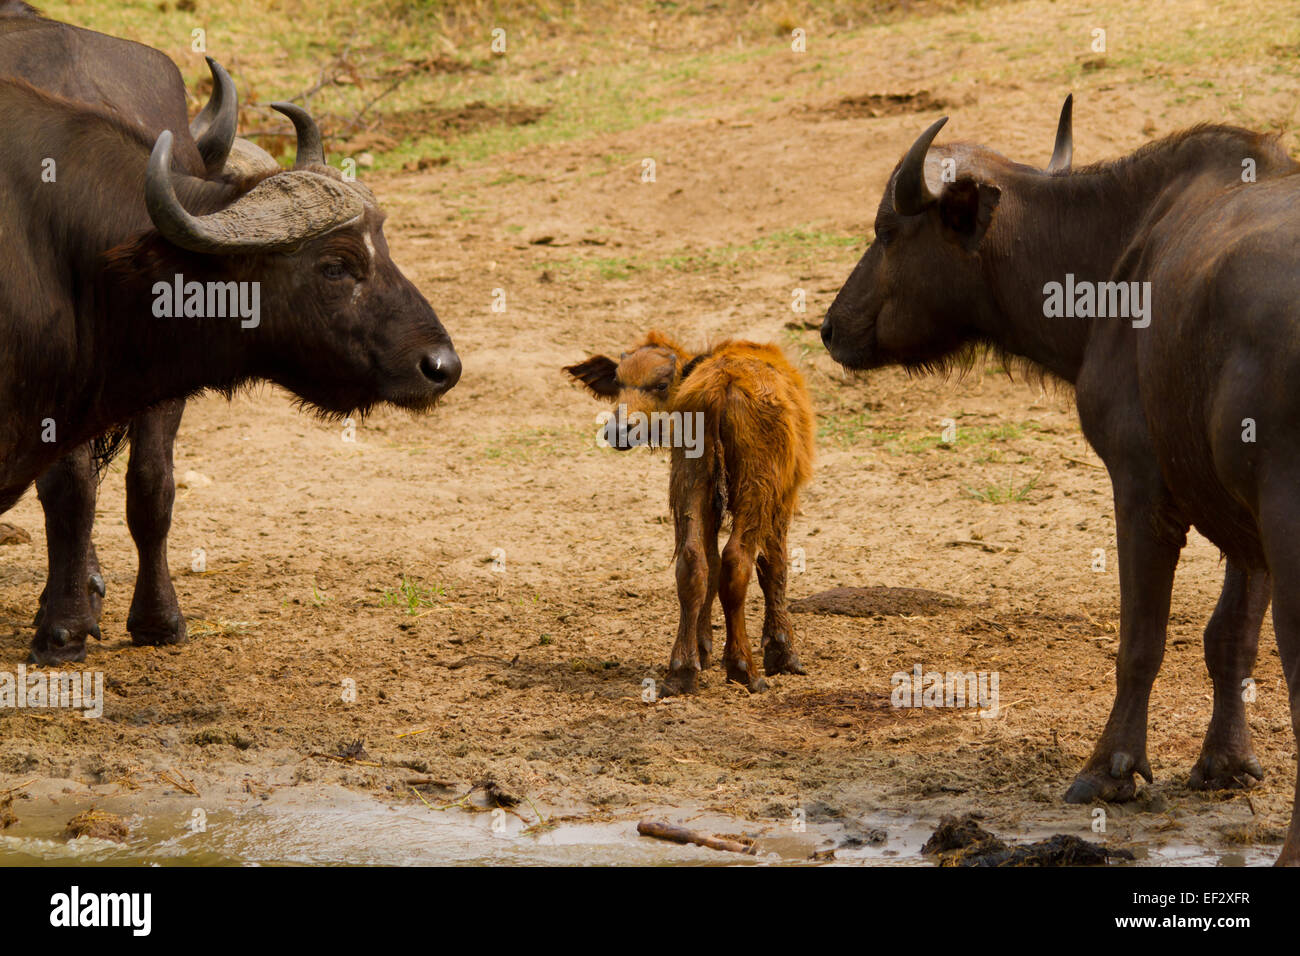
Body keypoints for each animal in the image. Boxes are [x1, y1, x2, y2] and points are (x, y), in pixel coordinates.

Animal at [820, 101, 1300, 864]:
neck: (1120, 254)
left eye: (886, 231)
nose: (830, 327)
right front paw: (1225, 764)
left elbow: (1141, 639)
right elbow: (1228, 637)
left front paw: (1109, 770)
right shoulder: (1239, 522)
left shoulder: (1141, 486)